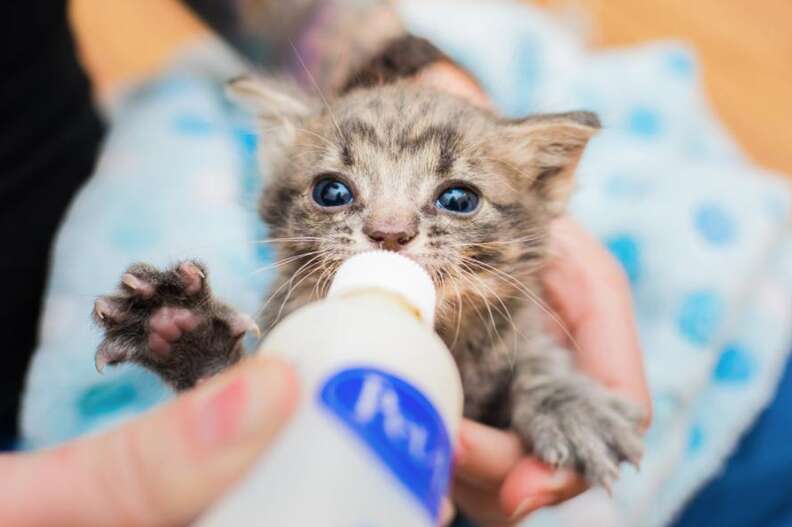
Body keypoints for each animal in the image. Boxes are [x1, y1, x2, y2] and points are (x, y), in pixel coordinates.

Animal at [91, 36, 644, 490]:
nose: (390, 233)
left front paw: (572, 407)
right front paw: (183, 328)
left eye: (458, 199)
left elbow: (536, 357)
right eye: (332, 191)